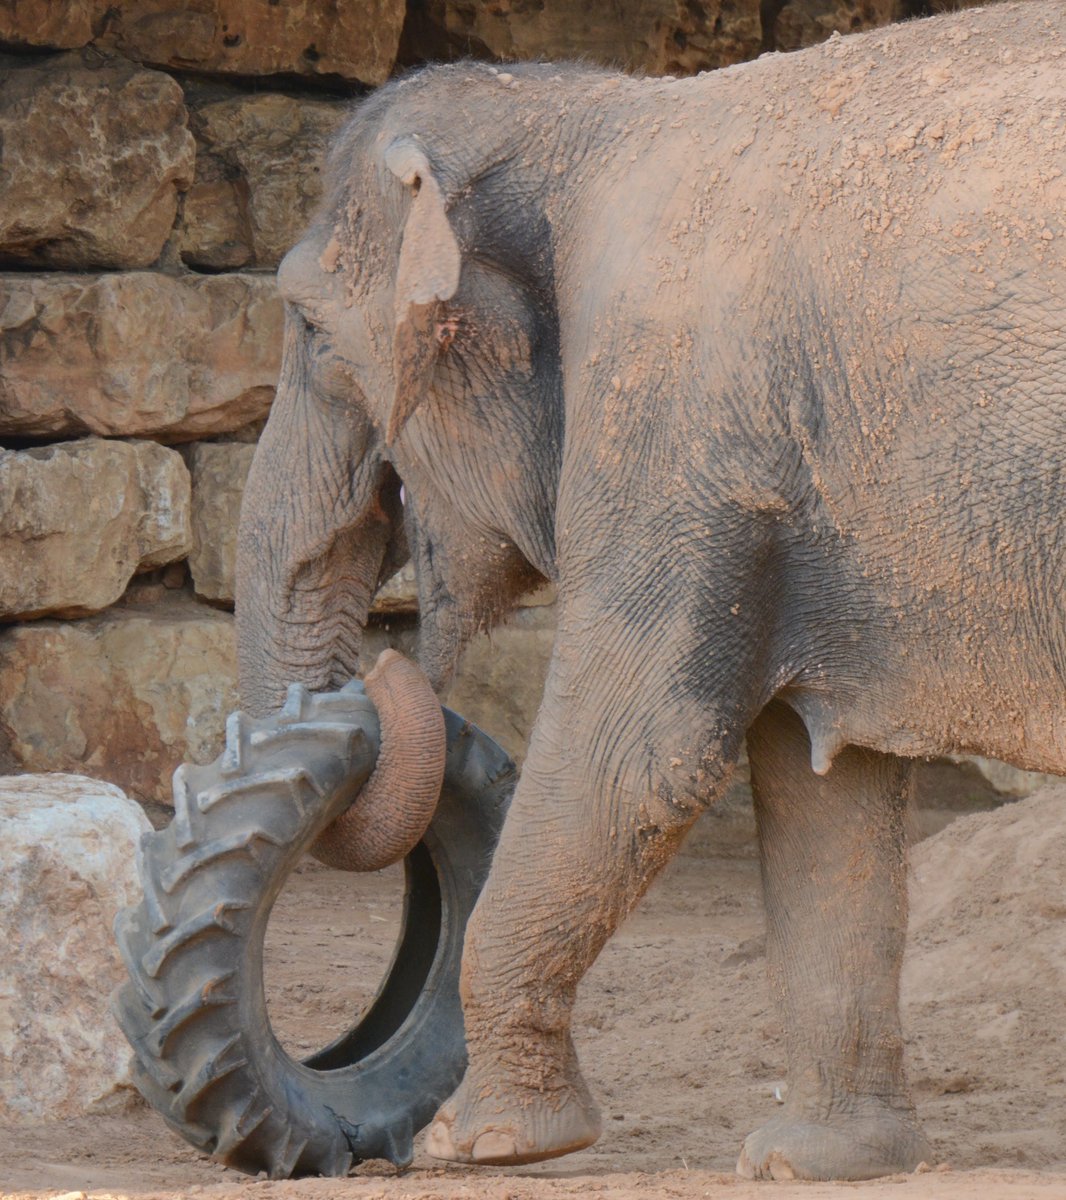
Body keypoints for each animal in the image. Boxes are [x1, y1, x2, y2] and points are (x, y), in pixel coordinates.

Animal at [235, 0, 1066, 1182]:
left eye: (309, 330)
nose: (391, 674)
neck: (591, 114)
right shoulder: (783, 485)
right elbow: (820, 786)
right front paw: (810, 1162)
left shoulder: (673, 418)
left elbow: (634, 755)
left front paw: (481, 1145)